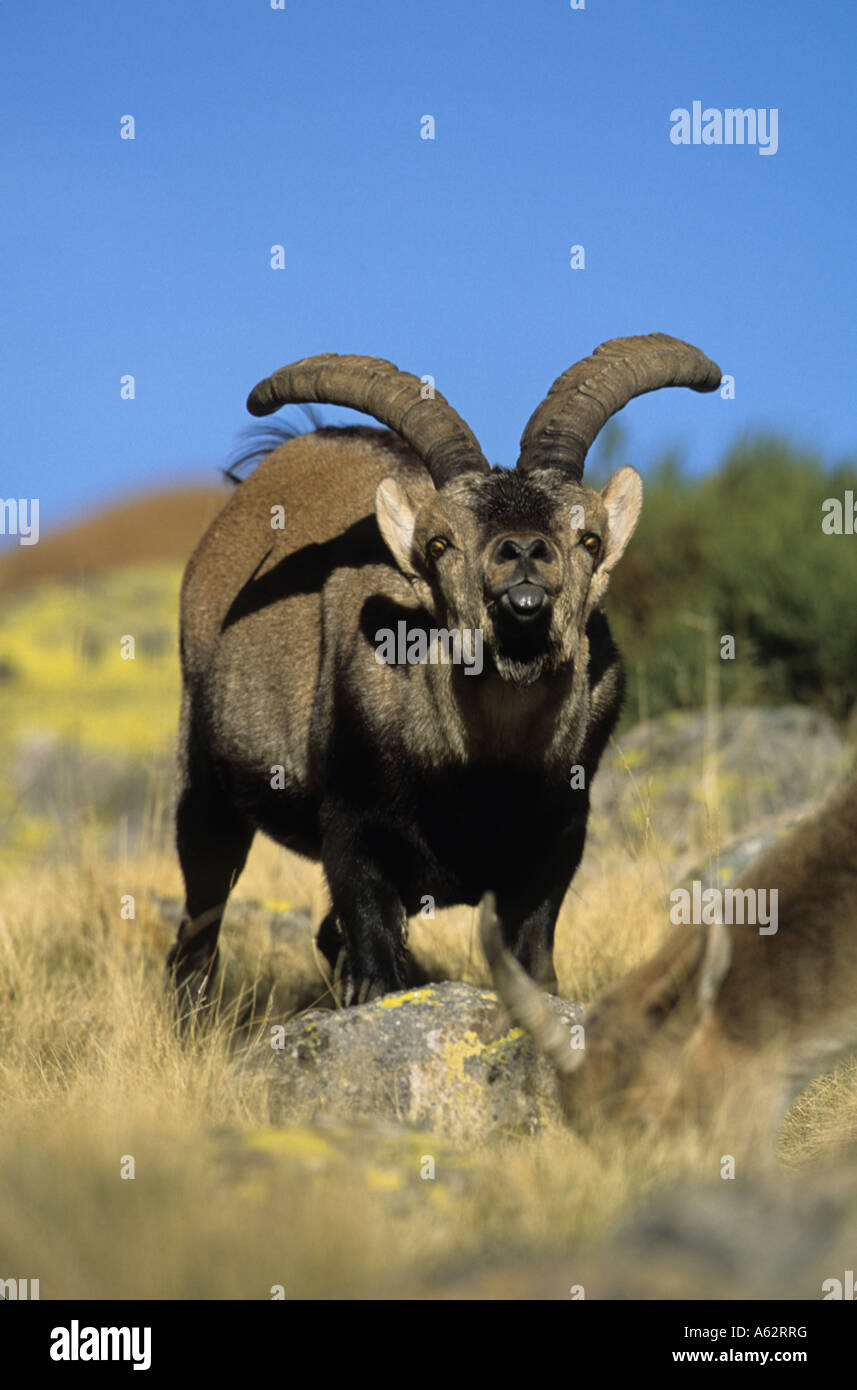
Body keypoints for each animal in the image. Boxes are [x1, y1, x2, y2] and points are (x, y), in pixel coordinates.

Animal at [165, 334, 721, 1014]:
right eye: (438, 543)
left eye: (589, 537)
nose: (524, 553)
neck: (486, 768)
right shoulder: (354, 829)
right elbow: (375, 968)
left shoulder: (559, 839)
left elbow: (535, 966)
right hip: (205, 780)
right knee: (198, 929)